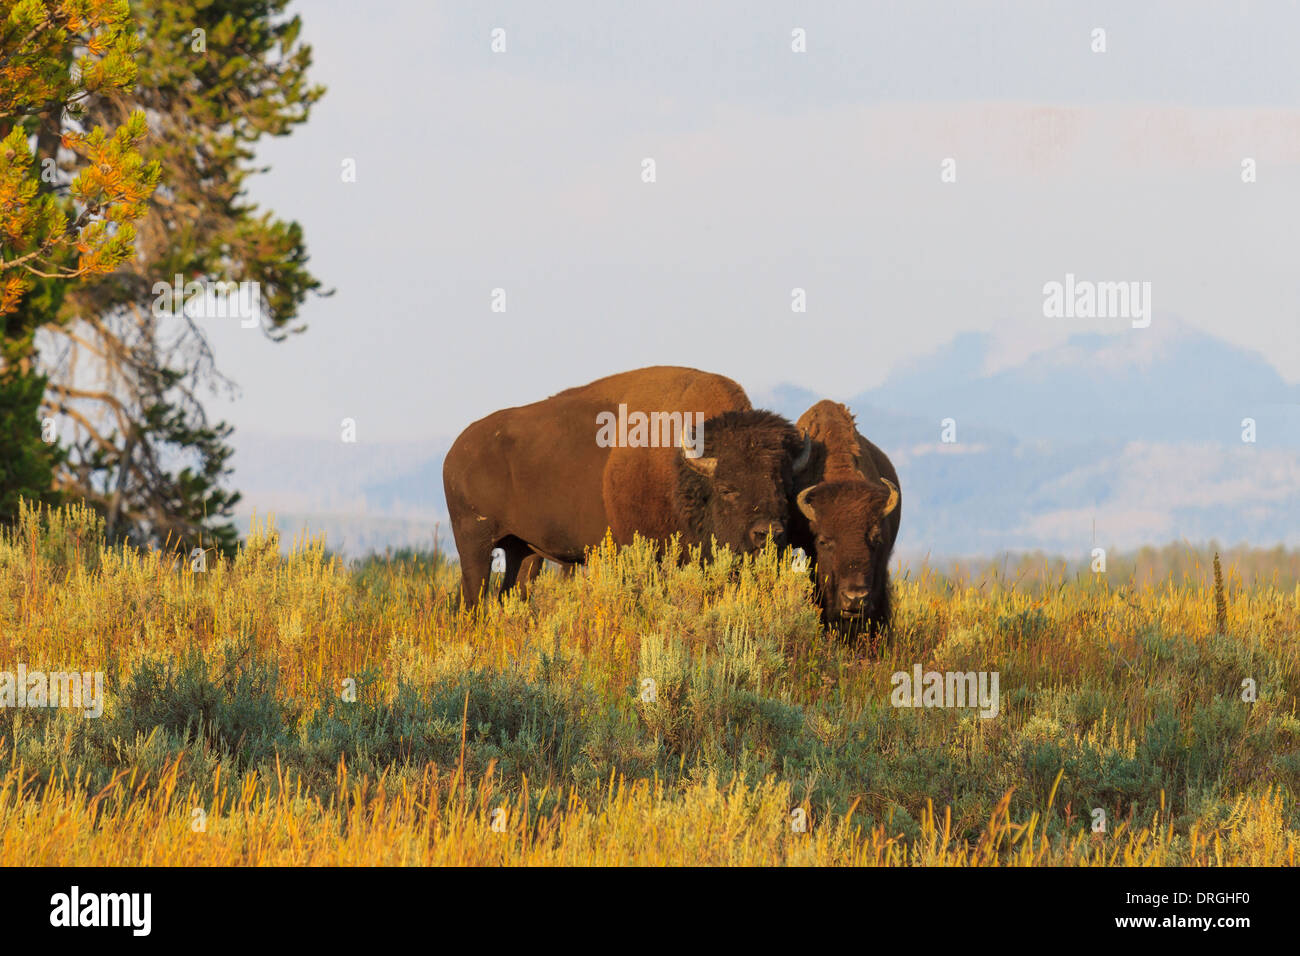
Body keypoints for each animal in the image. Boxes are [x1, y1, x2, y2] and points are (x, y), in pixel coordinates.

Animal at [443, 366, 810, 607]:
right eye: (727, 489)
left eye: (783, 488)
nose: (768, 534)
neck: (681, 466)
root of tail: (455, 452)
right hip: (474, 545)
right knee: (472, 598)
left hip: (524, 550)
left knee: (512, 592)